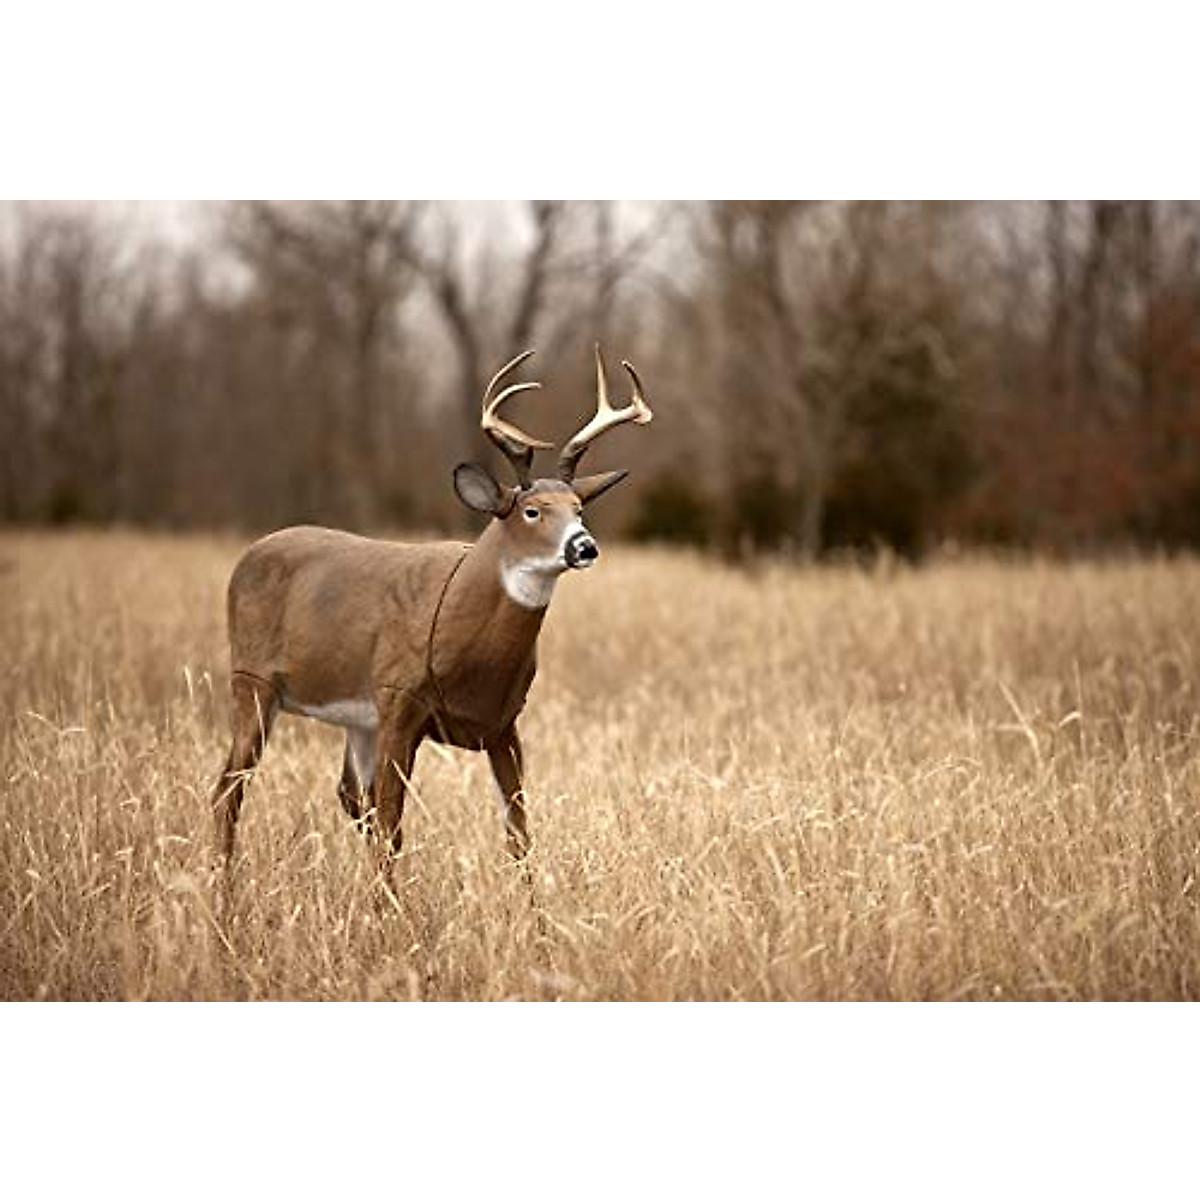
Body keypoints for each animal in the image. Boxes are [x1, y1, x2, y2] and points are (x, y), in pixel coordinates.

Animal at [210, 345, 652, 891]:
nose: (584, 545)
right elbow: (393, 824)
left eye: (579, 509)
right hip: (252, 680)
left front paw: (532, 906)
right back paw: (223, 889)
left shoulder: (502, 723)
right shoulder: (400, 702)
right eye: (532, 511)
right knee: (229, 790)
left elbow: (519, 832)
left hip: (356, 718)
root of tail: (247, 557)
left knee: (346, 795)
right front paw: (388, 909)